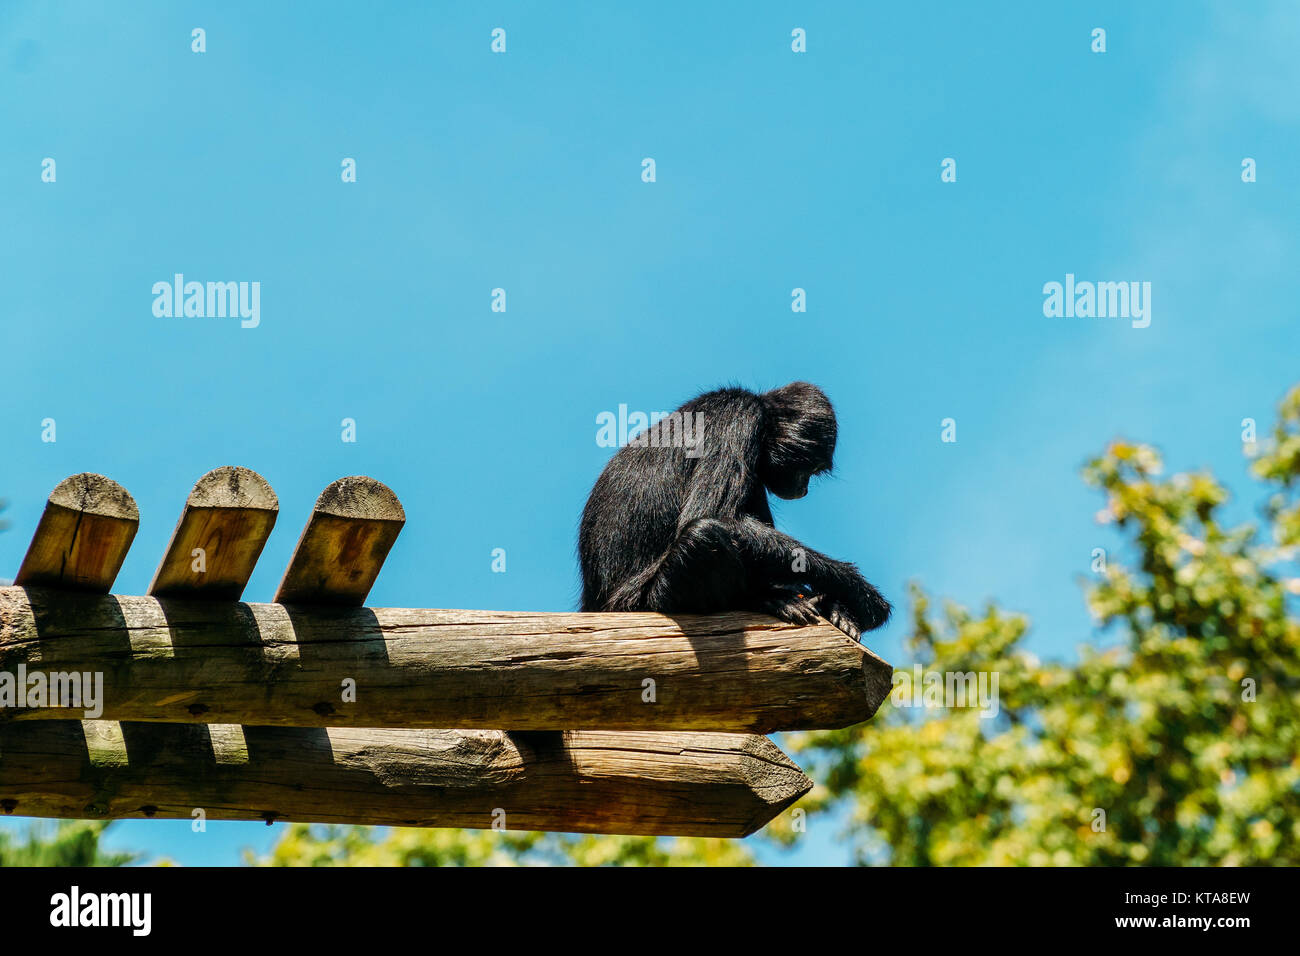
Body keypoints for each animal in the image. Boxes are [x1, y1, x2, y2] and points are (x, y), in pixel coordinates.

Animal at [579, 382, 890, 640]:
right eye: (811, 469)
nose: (803, 489)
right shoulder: (739, 416)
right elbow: (711, 513)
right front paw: (853, 586)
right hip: (651, 599)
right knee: (704, 532)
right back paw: (763, 599)